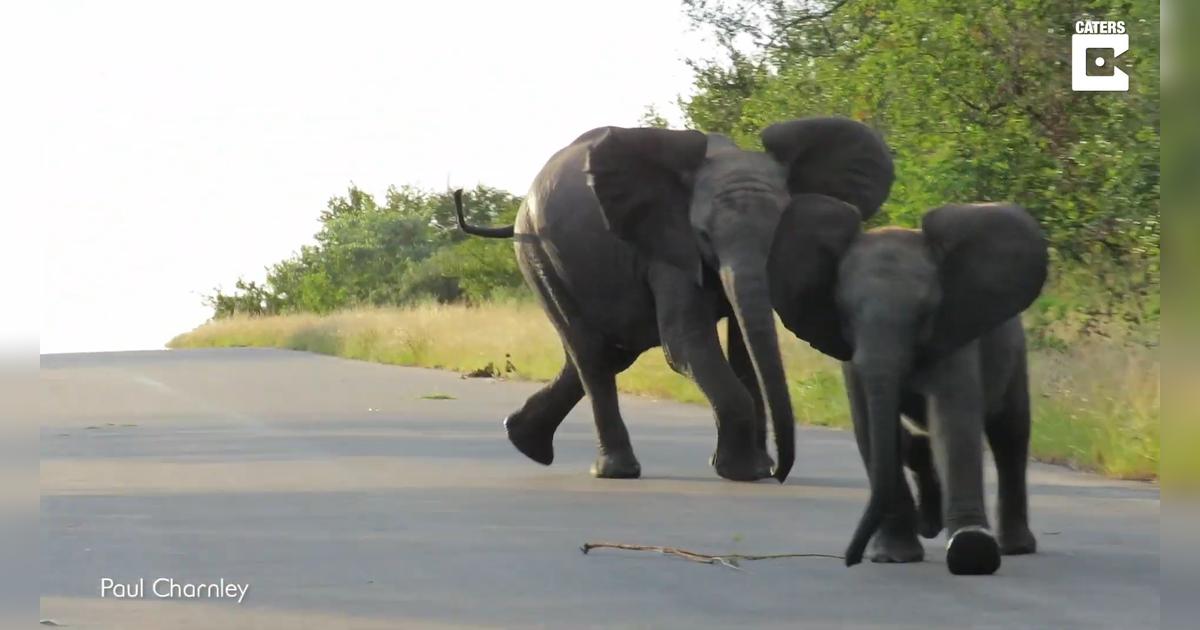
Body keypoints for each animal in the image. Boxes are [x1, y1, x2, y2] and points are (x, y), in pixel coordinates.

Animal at [454, 117, 894, 482]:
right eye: (703, 234)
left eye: (780, 227)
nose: (780, 473)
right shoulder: (668, 248)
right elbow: (685, 343)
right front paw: (742, 473)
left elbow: (743, 346)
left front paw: (752, 470)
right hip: (538, 256)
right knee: (592, 353)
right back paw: (615, 471)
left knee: (611, 352)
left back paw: (524, 441)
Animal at [767, 198, 1048, 574]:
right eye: (843, 313)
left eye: (926, 312)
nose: (851, 560)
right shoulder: (852, 360)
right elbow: (872, 430)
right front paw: (894, 557)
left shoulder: (954, 333)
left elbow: (954, 422)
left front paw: (971, 551)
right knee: (913, 442)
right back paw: (928, 523)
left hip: (1016, 354)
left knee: (1010, 436)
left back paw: (1014, 547)